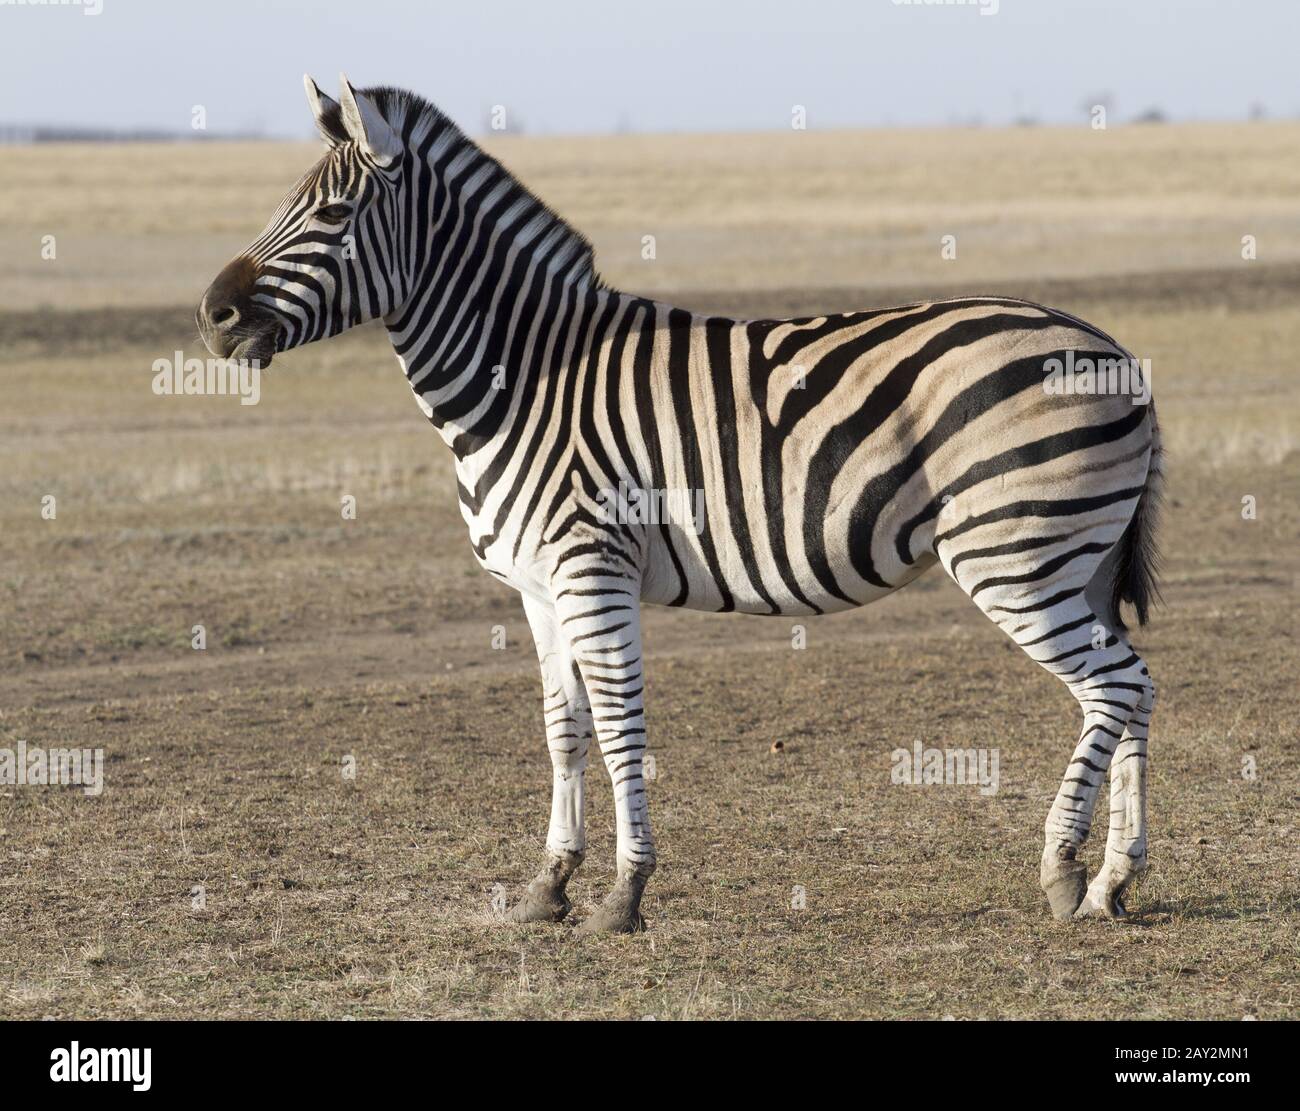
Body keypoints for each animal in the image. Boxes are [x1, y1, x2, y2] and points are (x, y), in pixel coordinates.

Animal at [197, 76, 1162, 933]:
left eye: (330, 216)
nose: (211, 314)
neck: (524, 379)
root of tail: (1115, 349)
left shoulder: (592, 571)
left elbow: (621, 727)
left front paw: (624, 895)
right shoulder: (539, 588)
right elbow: (563, 728)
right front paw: (549, 884)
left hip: (1014, 555)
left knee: (1112, 687)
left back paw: (1062, 871)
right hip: (1073, 562)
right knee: (1137, 685)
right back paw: (1114, 882)